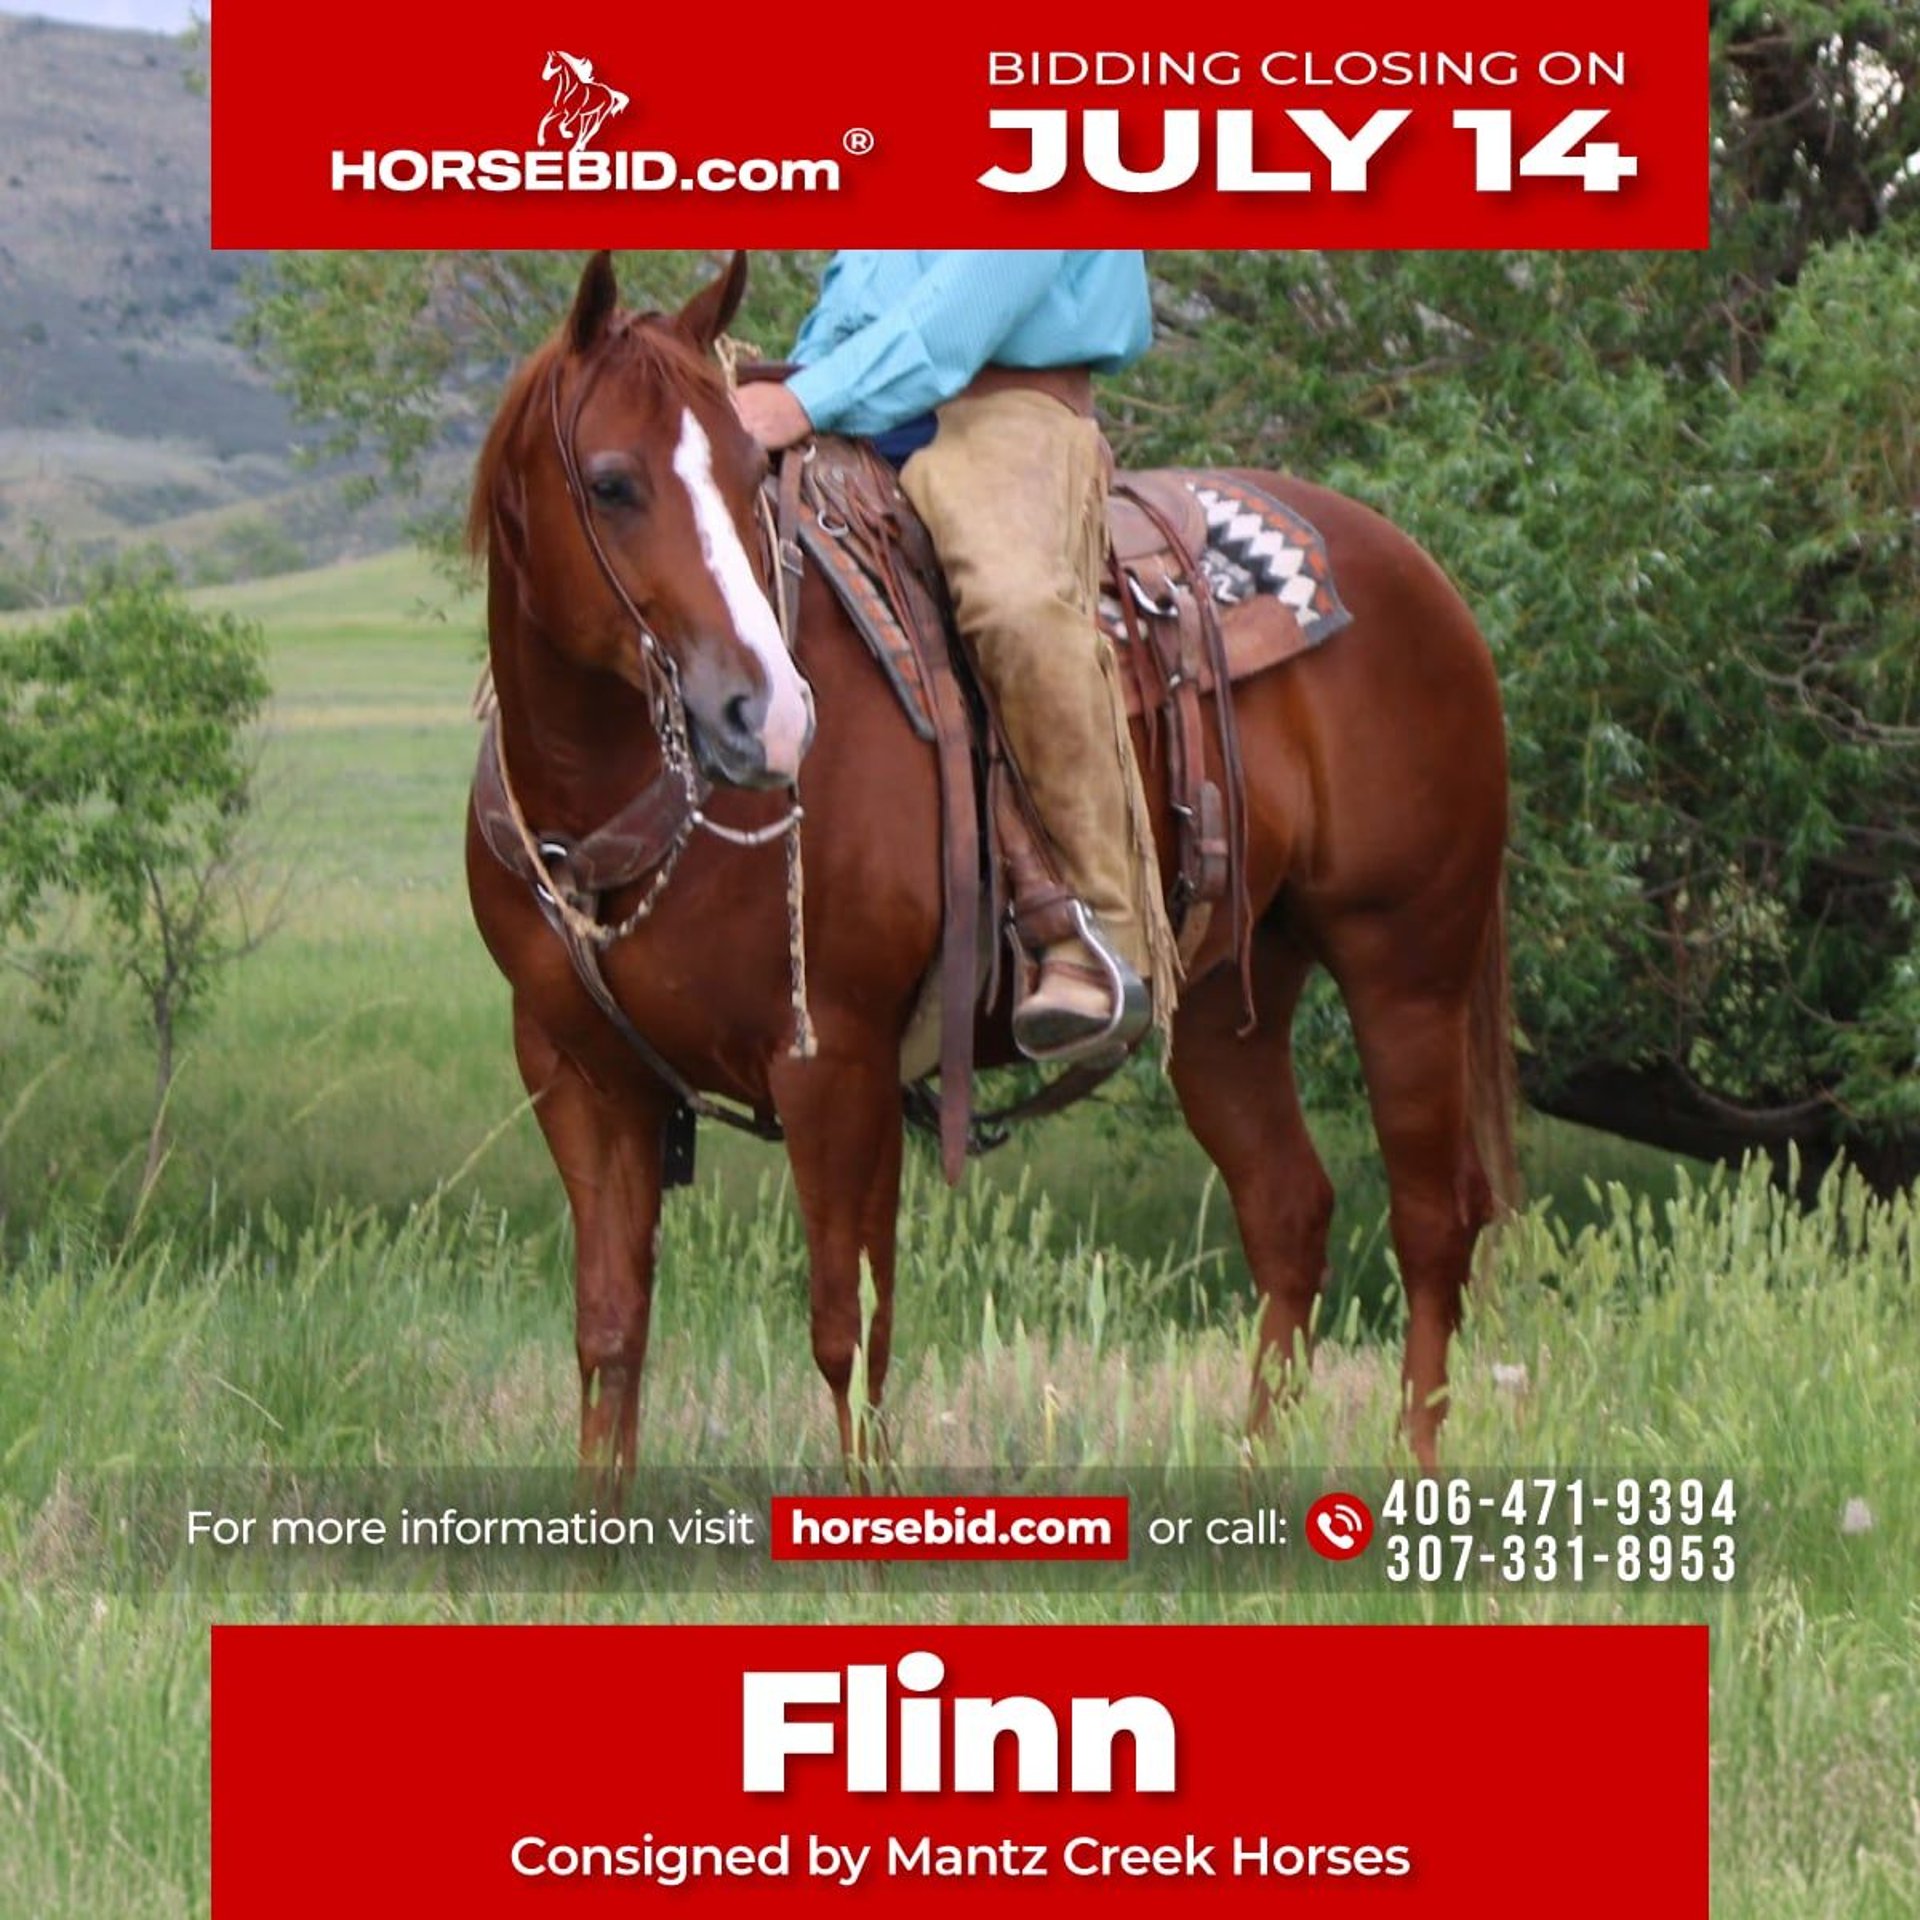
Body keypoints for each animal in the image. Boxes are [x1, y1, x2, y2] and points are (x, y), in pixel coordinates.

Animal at [465, 250, 1515, 1480]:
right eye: (612, 482)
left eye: (743, 469)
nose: (765, 715)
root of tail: (1419, 575)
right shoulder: (580, 1076)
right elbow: (611, 1334)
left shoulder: (836, 1065)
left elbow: (847, 1333)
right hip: (1225, 1004)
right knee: (1289, 1214)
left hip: (1408, 970)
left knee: (1434, 1220)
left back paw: (1415, 1465)